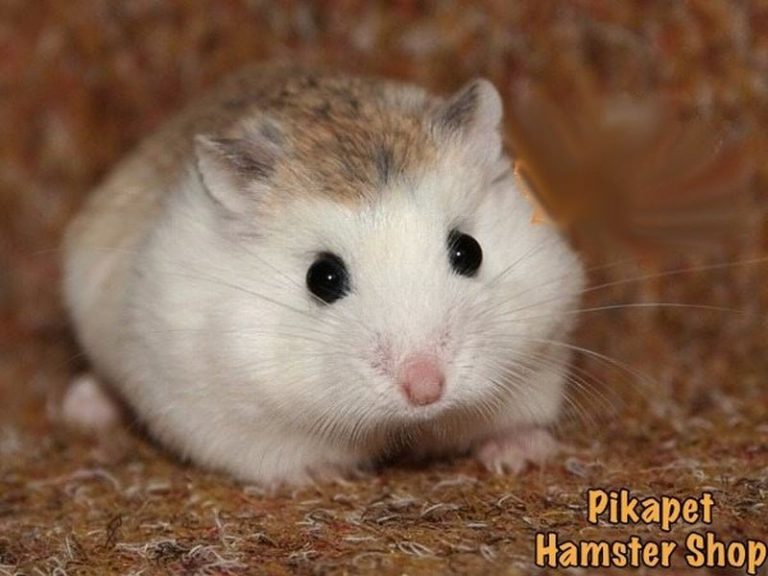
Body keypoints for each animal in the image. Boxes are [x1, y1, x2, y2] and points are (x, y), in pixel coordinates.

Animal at [62, 64, 585, 485]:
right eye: (322, 278)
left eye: (469, 251)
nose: (426, 390)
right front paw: (323, 473)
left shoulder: (540, 359)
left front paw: (519, 455)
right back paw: (83, 407)